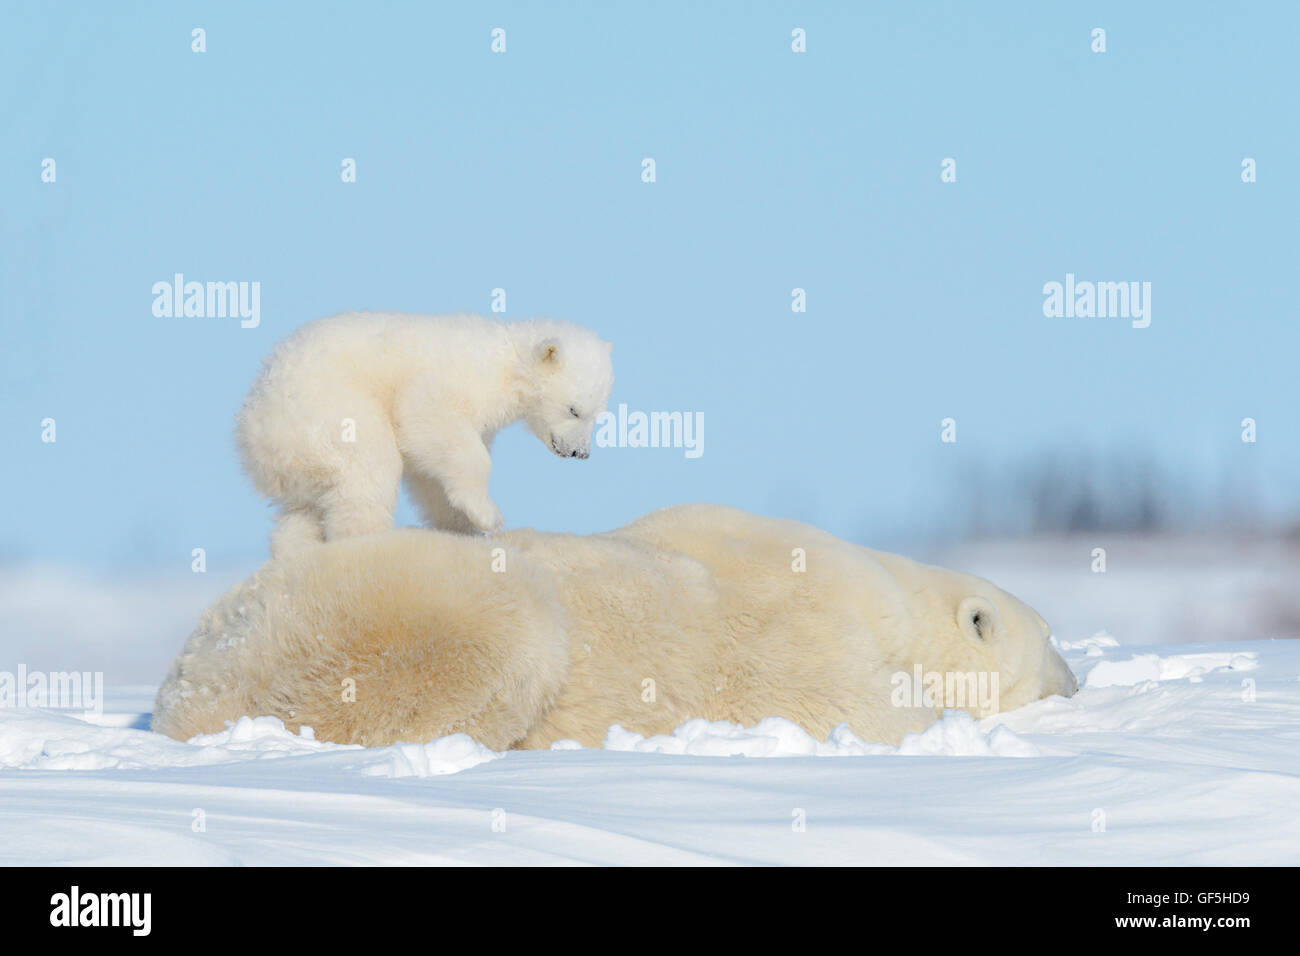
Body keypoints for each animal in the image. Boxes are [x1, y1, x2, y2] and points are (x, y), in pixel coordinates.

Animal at [151, 504, 1078, 749]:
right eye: (1053, 642)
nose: (1078, 684)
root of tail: (185, 684)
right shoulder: (798, 640)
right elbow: (862, 710)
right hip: (371, 618)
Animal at [235, 311, 614, 556]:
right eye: (574, 410)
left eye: (597, 414)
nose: (580, 453)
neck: (508, 363)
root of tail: (254, 430)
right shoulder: (454, 381)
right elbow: (428, 420)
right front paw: (487, 514)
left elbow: (430, 472)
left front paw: (461, 524)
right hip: (330, 413)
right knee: (368, 471)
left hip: (300, 459)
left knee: (303, 510)